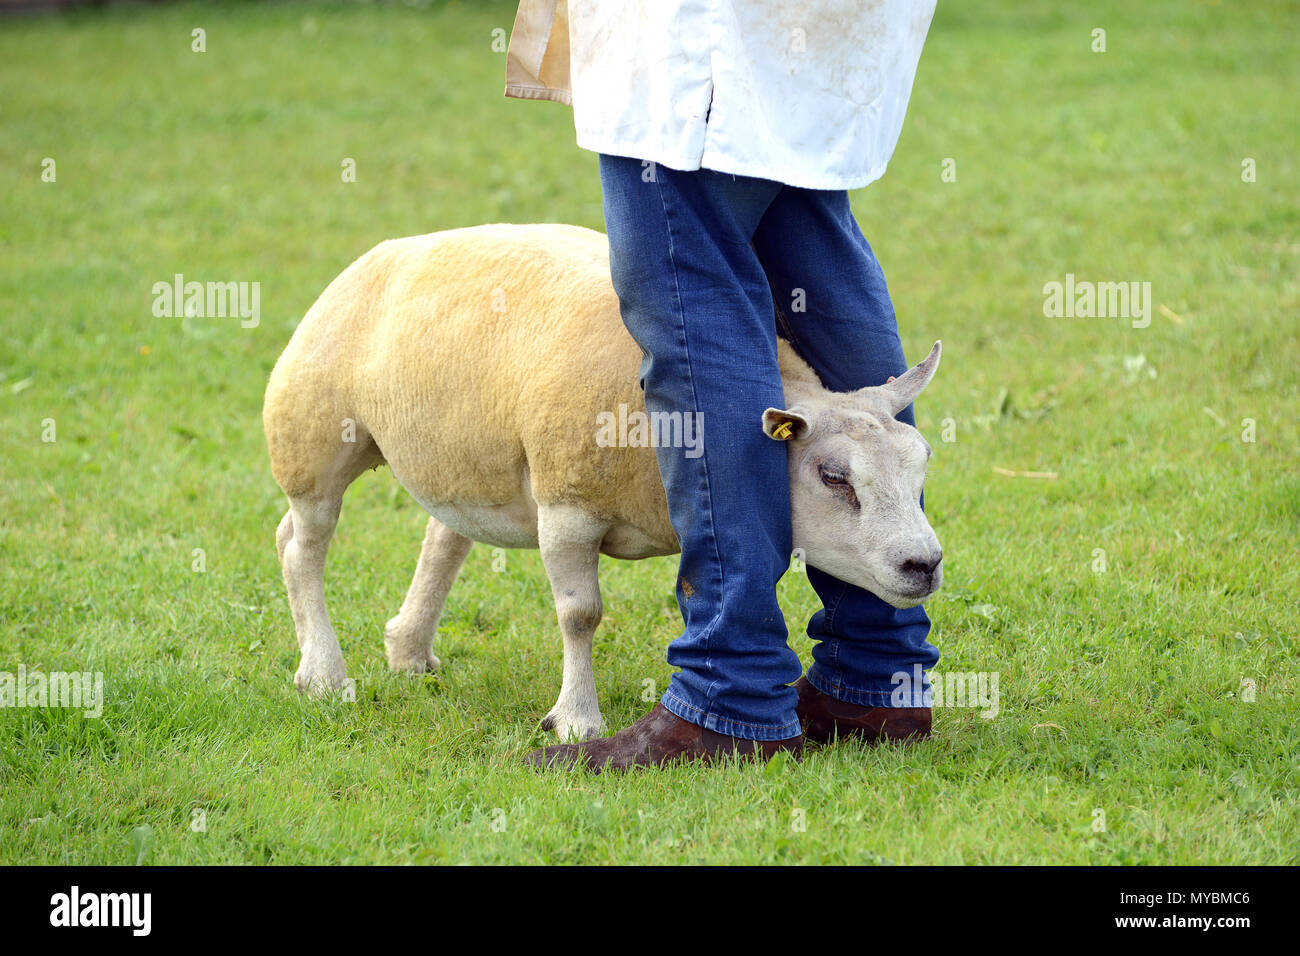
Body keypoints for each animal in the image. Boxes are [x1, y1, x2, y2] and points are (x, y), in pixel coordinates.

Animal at [263, 223, 943, 741]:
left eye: (921, 462)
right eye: (833, 477)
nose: (924, 565)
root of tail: (380, 254)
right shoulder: (567, 508)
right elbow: (580, 615)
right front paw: (575, 721)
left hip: (467, 460)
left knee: (443, 539)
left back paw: (407, 650)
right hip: (313, 443)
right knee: (299, 547)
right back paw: (323, 673)